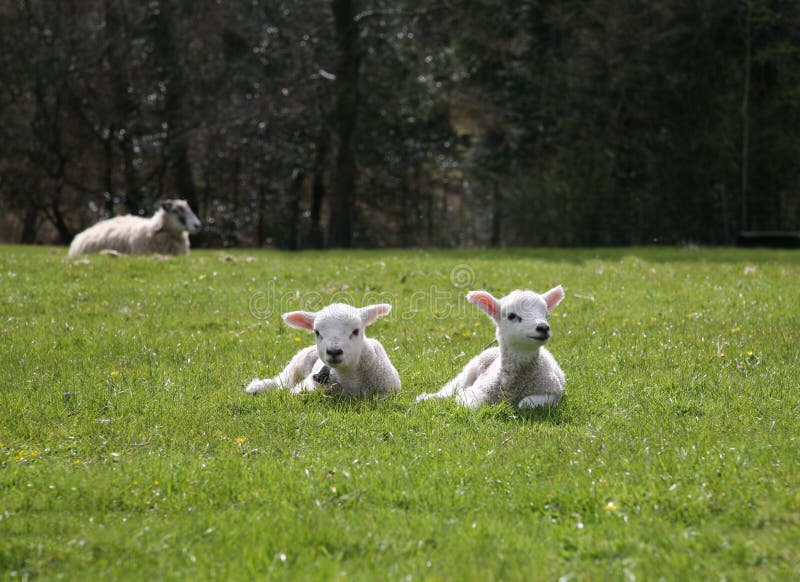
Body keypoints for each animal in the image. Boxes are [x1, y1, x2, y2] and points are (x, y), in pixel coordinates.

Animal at [245, 303, 401, 398]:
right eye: (317, 332)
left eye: (356, 331)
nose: (334, 351)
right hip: (297, 364)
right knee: (280, 381)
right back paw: (256, 387)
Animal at [416, 286, 566, 409]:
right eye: (512, 316)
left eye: (546, 315)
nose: (543, 328)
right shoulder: (477, 390)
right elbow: (470, 402)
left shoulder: (553, 391)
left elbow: (526, 403)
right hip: (473, 367)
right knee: (452, 387)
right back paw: (427, 398)